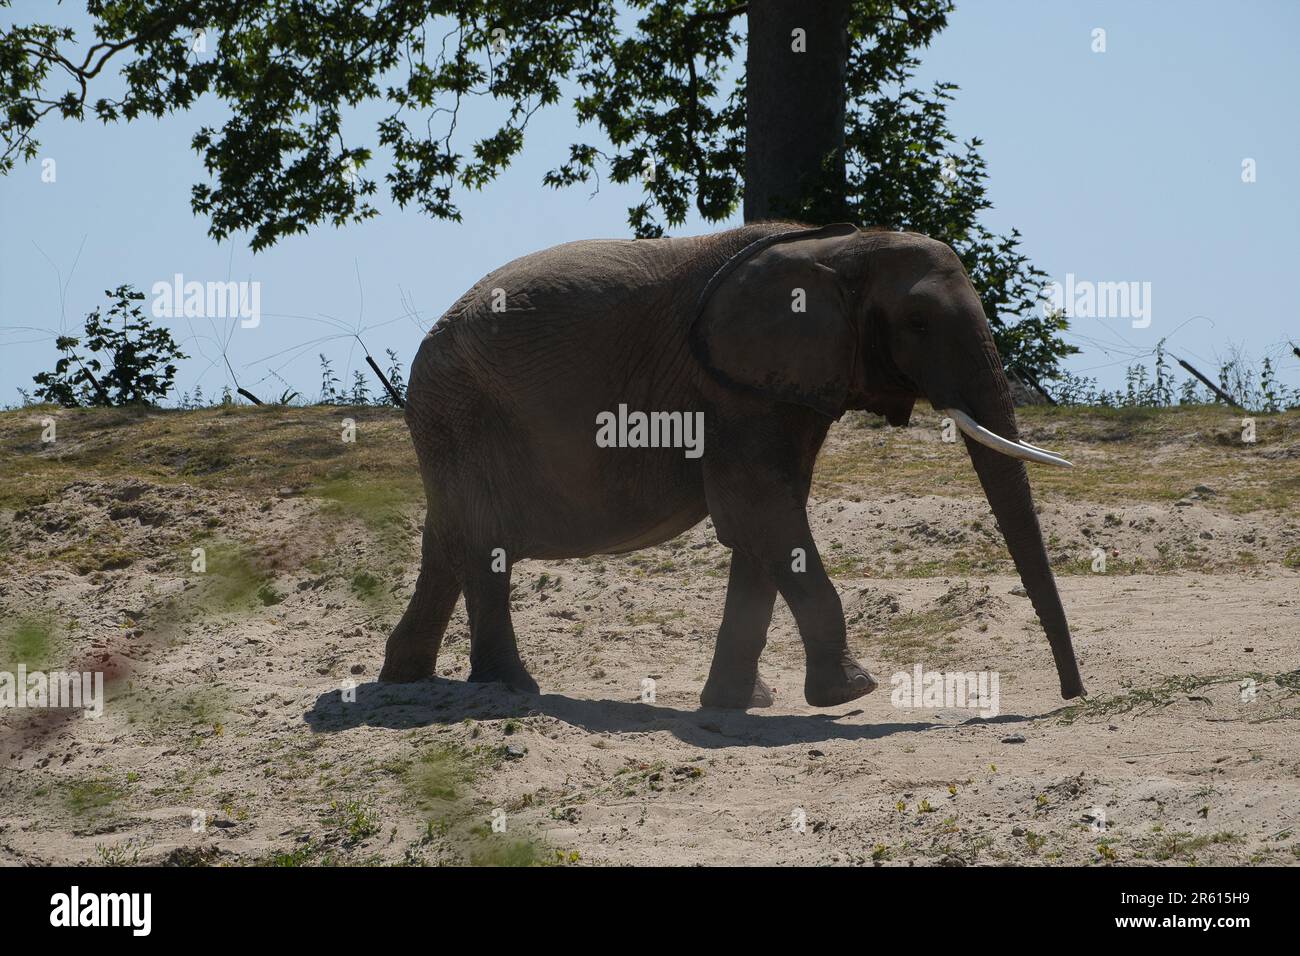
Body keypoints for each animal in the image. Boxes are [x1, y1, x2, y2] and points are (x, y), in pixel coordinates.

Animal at [378, 221, 1087, 708]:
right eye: (916, 322)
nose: (1073, 696)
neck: (844, 245)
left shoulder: (783, 385)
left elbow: (766, 525)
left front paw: (739, 704)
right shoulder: (734, 389)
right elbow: (758, 513)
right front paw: (852, 693)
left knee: (448, 542)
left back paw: (405, 680)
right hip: (460, 412)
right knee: (482, 543)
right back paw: (511, 690)